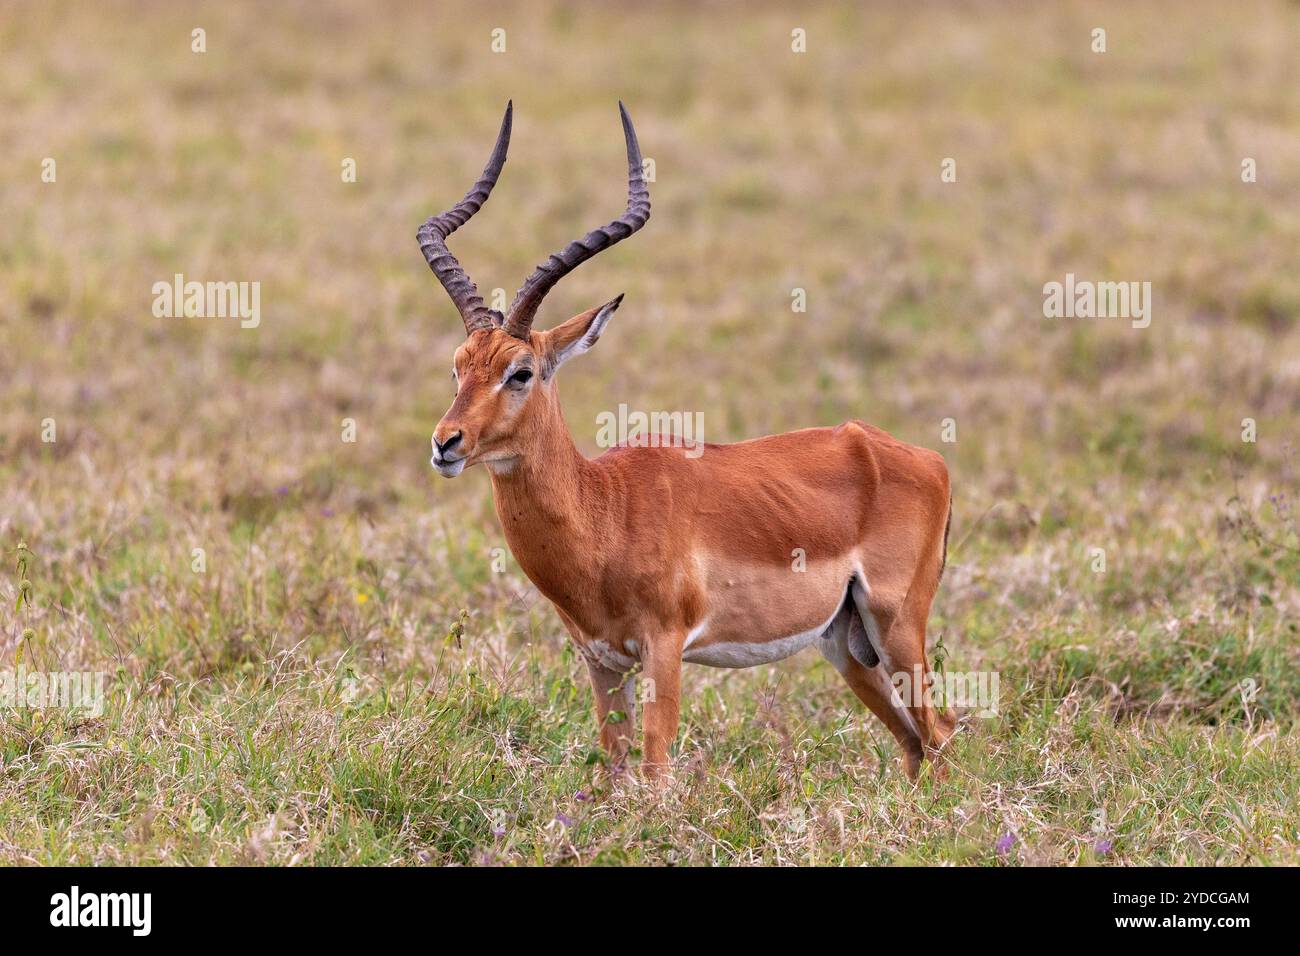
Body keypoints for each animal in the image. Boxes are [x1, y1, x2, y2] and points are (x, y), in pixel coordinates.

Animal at [420, 102, 955, 781]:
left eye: (521, 372)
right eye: (458, 367)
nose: (446, 443)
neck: (605, 509)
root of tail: (924, 457)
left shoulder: (664, 648)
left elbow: (655, 770)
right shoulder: (600, 659)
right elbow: (616, 767)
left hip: (898, 627)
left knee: (943, 733)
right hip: (846, 644)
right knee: (915, 744)